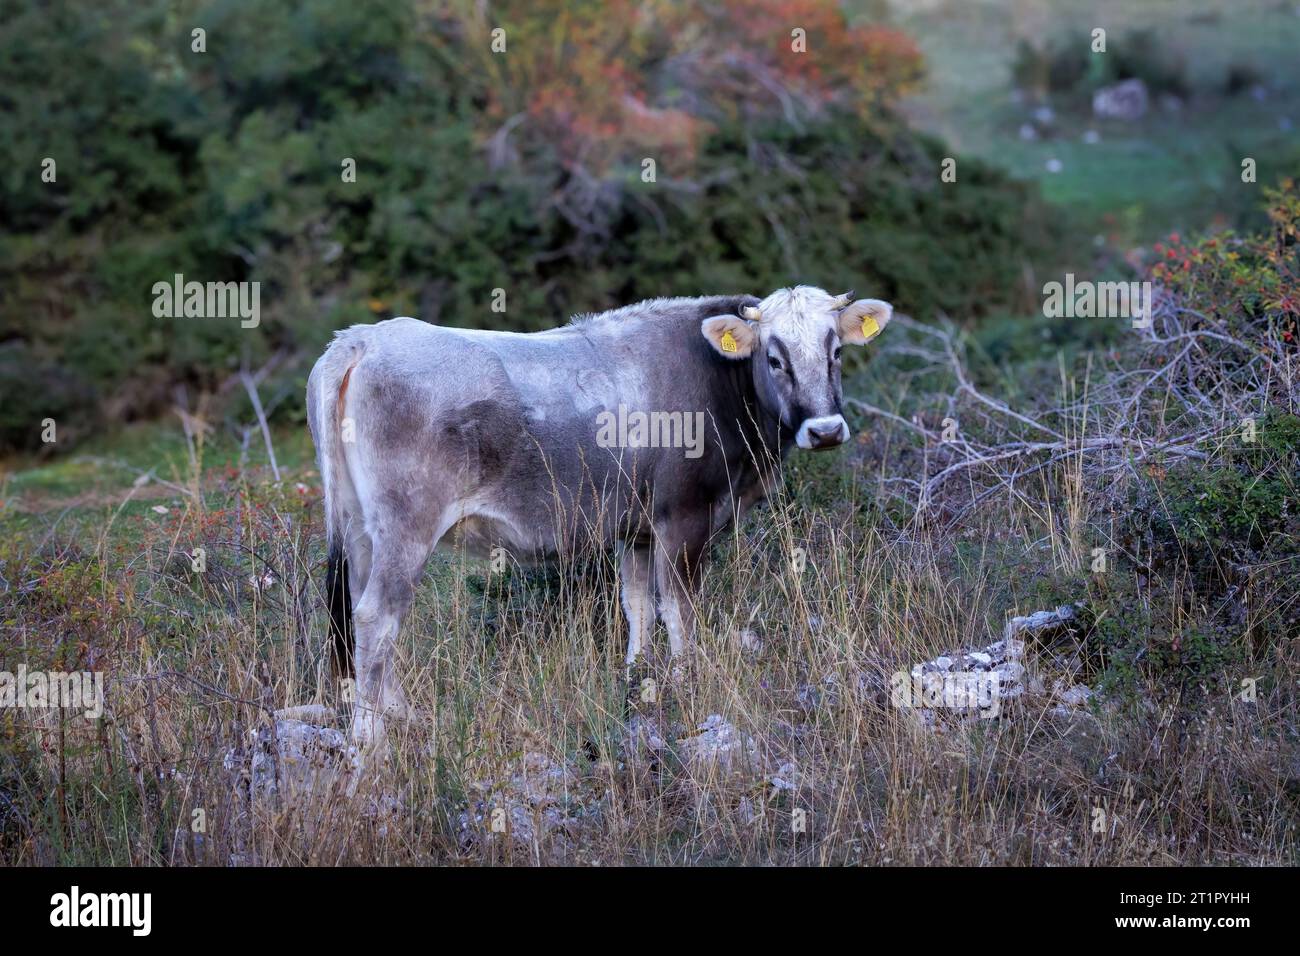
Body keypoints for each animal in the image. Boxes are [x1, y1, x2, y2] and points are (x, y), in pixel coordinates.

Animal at [306, 285, 893, 746]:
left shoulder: (637, 530)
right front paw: (689, 687)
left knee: (362, 607)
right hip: (407, 525)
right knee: (377, 615)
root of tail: (364, 337)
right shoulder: (685, 518)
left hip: (361, 527)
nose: (825, 430)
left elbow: (638, 607)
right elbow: (679, 611)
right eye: (774, 358)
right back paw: (371, 740)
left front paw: (639, 684)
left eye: (835, 351)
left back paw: (401, 714)